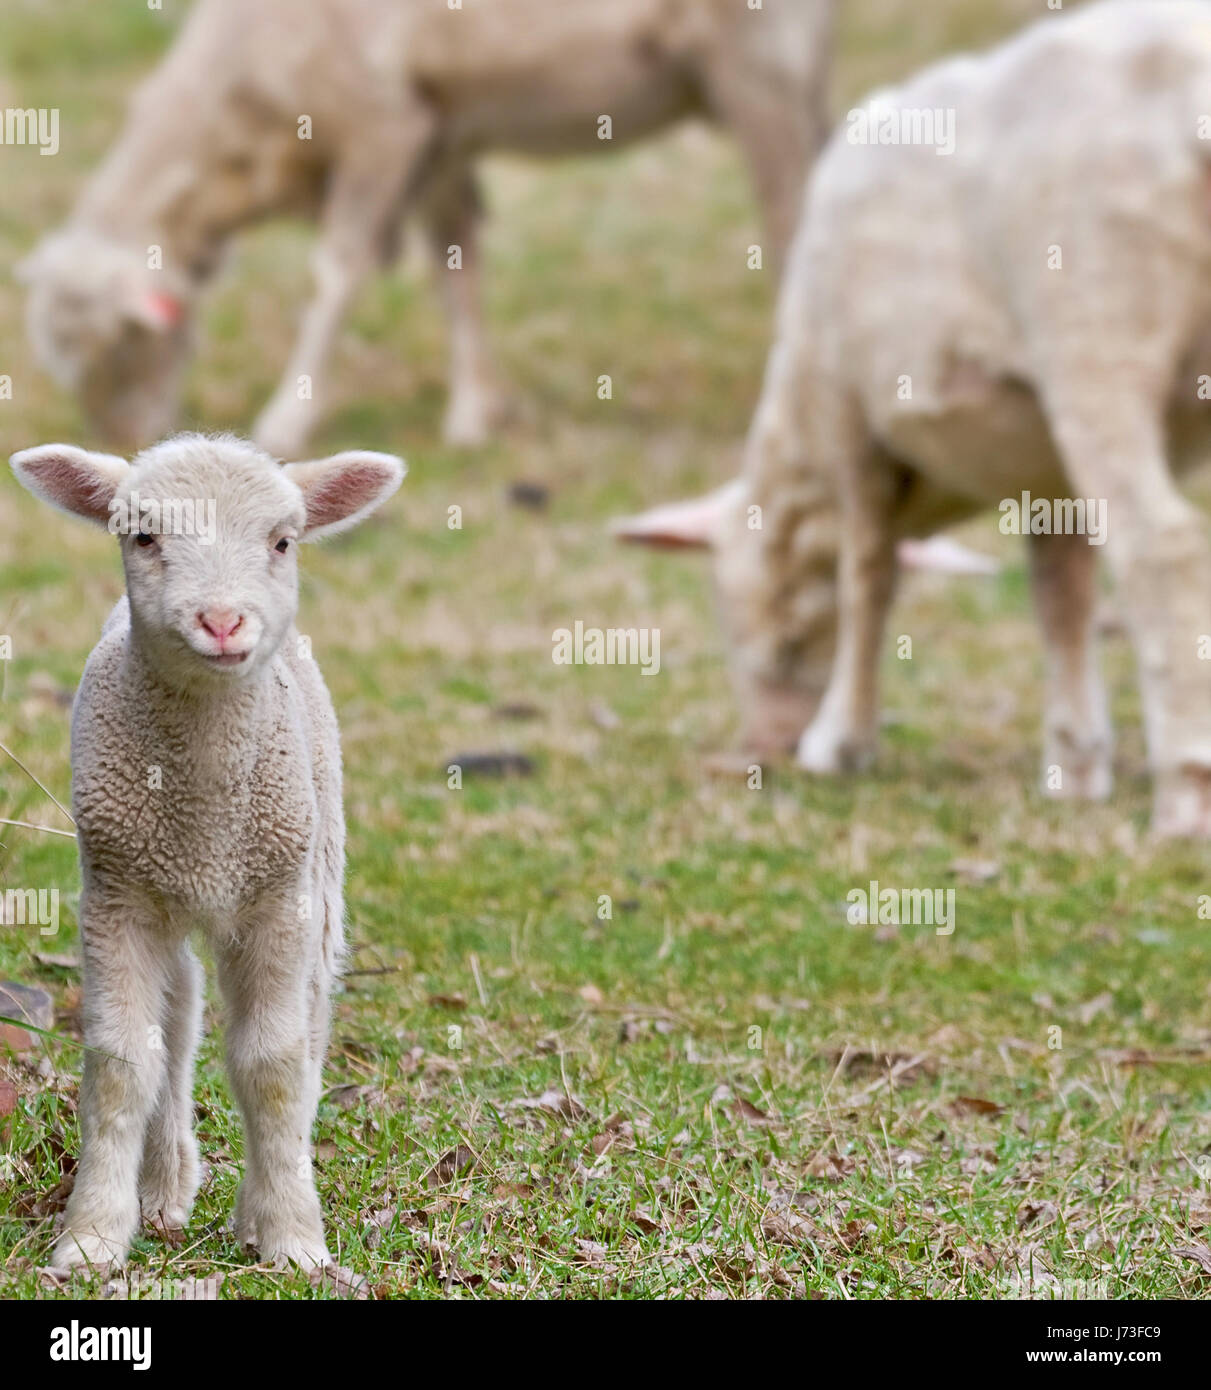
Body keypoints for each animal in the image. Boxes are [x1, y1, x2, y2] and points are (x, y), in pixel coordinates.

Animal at [9, 432, 404, 1271]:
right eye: (142, 536)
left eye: (282, 542)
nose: (221, 622)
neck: (204, 819)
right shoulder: (117, 897)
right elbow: (123, 1062)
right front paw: (91, 1237)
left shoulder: (279, 903)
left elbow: (272, 1067)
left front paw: (291, 1237)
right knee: (181, 1016)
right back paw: (163, 1191)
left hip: (318, 873)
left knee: (308, 1027)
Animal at [18, 0, 835, 458]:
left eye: (120, 340)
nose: (122, 440)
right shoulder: (440, 134)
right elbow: (455, 268)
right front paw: (476, 412)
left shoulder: (382, 124)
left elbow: (335, 274)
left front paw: (287, 419)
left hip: (755, 66)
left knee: (791, 222)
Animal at [618, 0, 1211, 838]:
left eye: (723, 612)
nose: (763, 744)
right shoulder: (1045, 471)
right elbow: (1059, 596)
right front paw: (1073, 764)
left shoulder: (848, 415)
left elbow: (867, 576)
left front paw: (840, 740)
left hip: (1092, 331)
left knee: (1163, 544)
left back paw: (1184, 796)